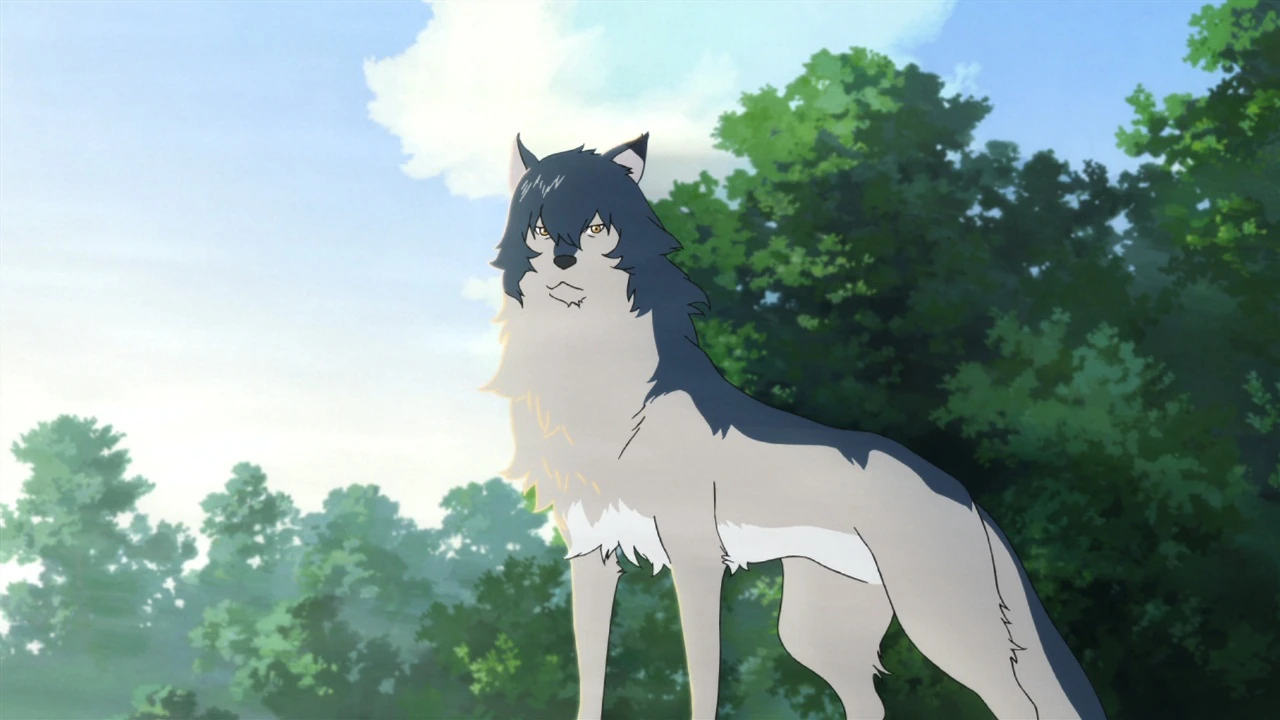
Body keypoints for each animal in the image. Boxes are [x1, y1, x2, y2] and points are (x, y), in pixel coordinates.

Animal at [483, 132, 1107, 720]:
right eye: (540, 229)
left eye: (594, 227)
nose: (562, 262)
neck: (595, 383)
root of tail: (963, 492)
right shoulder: (591, 554)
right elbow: (590, 679)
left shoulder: (696, 557)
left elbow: (703, 681)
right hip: (816, 635)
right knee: (870, 704)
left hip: (940, 623)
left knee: (1021, 705)